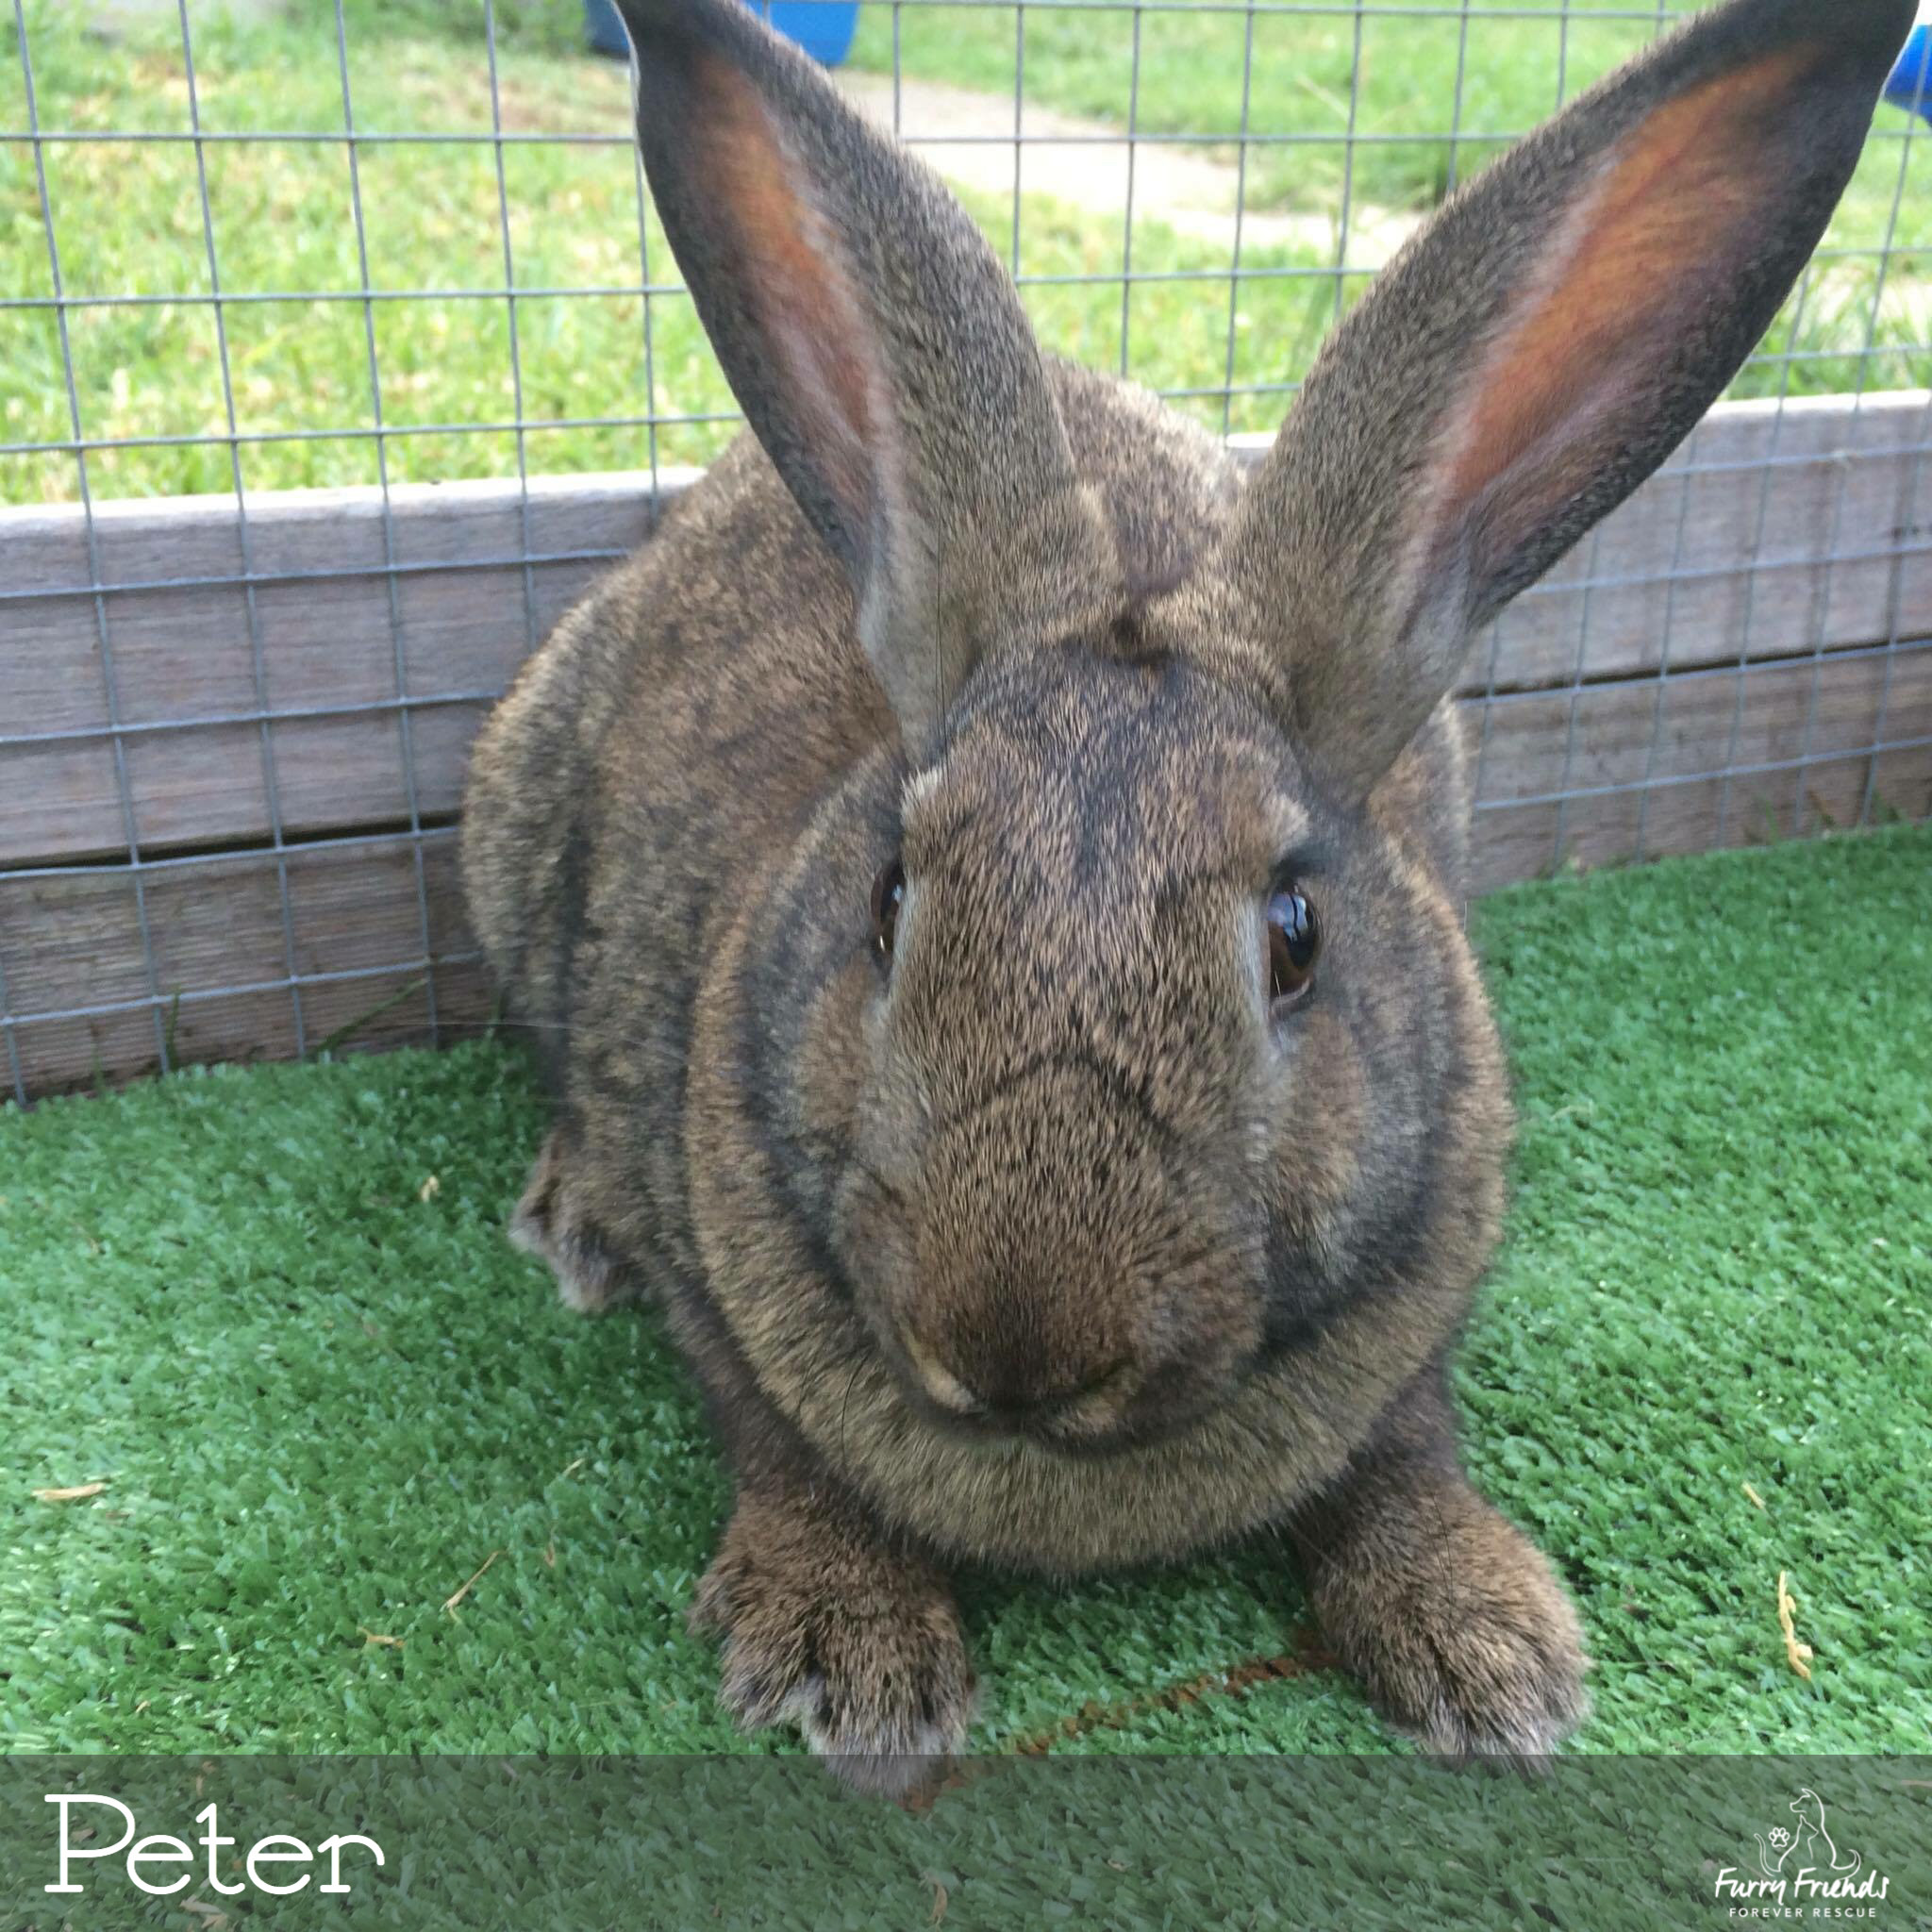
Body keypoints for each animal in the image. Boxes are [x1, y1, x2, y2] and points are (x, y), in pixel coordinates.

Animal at [462, 0, 1909, 1789]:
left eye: (1295, 939)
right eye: (887, 901)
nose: (1014, 1340)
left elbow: (1403, 1453)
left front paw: (1493, 1652)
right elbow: (772, 1439)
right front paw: (848, 1657)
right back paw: (574, 1217)